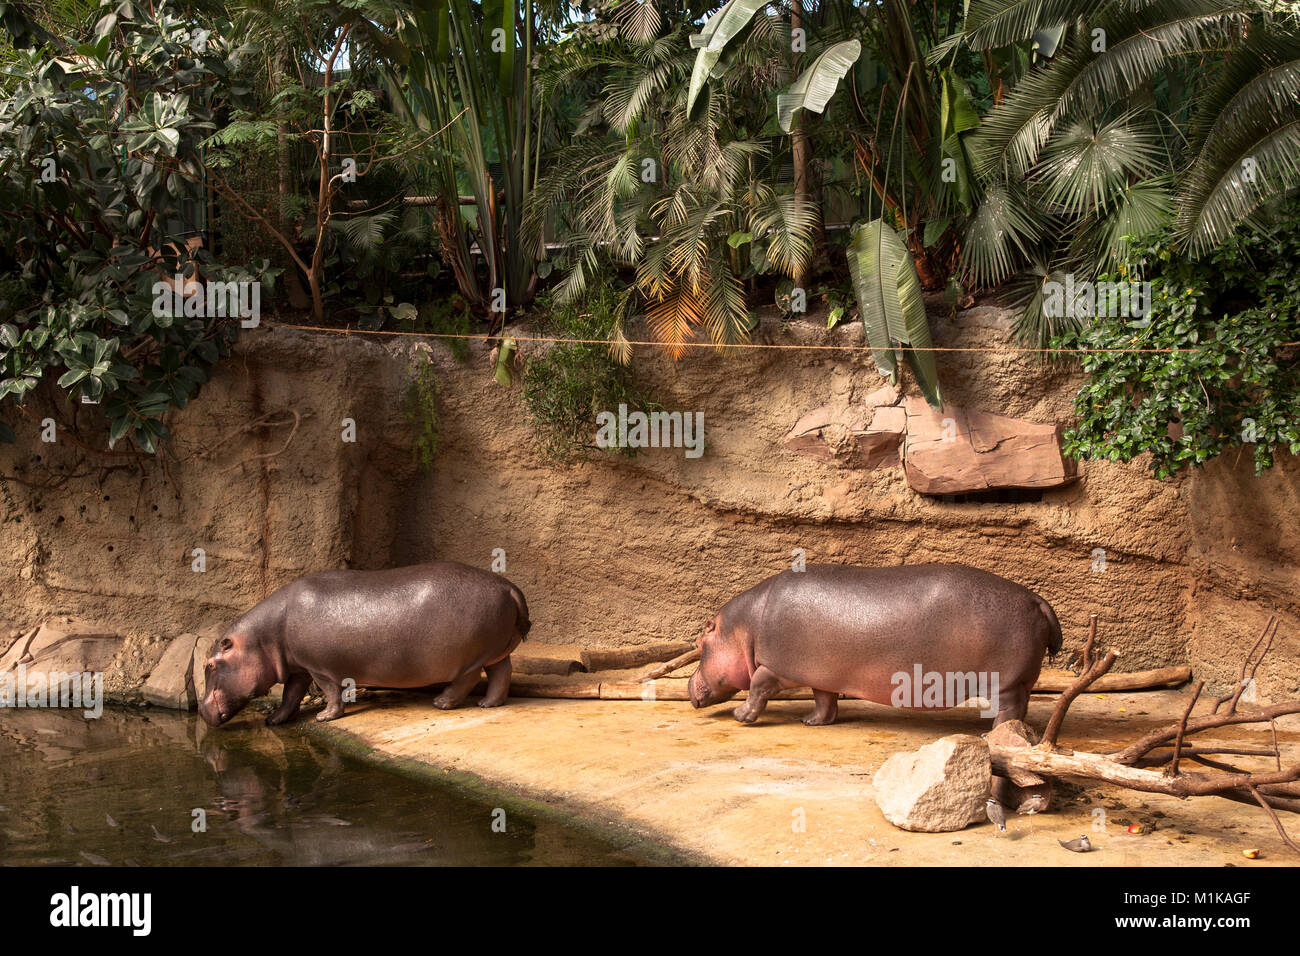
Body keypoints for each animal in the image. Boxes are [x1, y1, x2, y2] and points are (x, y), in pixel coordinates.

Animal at [198, 561, 530, 727]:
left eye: (210, 664)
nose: (200, 711)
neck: (264, 636)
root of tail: (508, 586)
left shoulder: (319, 668)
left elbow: (331, 692)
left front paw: (324, 717)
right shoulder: (300, 667)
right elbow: (290, 696)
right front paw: (273, 720)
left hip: (470, 658)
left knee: (468, 678)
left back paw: (442, 703)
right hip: (496, 651)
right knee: (502, 672)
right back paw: (488, 704)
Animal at [688, 563, 1061, 728]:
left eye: (700, 641)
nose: (690, 686)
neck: (745, 627)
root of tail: (1035, 598)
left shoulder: (776, 666)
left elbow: (757, 687)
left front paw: (741, 716)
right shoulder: (823, 672)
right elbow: (824, 699)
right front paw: (813, 722)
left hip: (1005, 682)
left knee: (1009, 709)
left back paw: (992, 736)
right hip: (1020, 680)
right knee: (1021, 707)